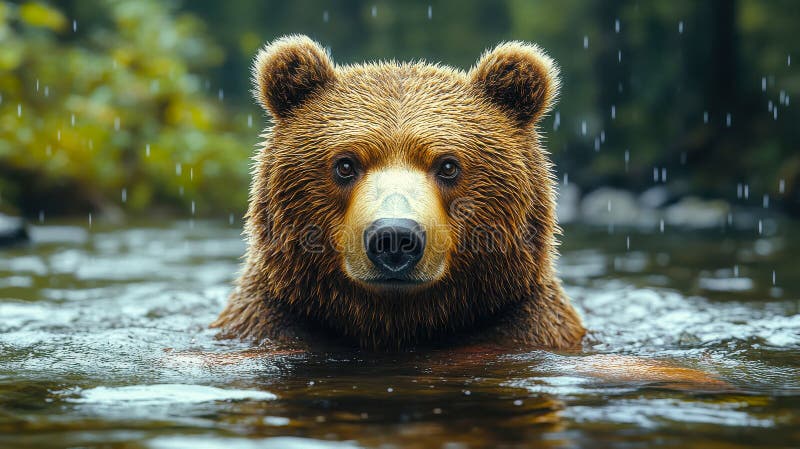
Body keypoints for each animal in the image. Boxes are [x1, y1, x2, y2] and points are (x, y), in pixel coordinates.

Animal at [212, 34, 586, 350]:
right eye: (345, 164)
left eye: (448, 165)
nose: (393, 237)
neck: (398, 323)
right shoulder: (270, 320)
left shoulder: (527, 322)